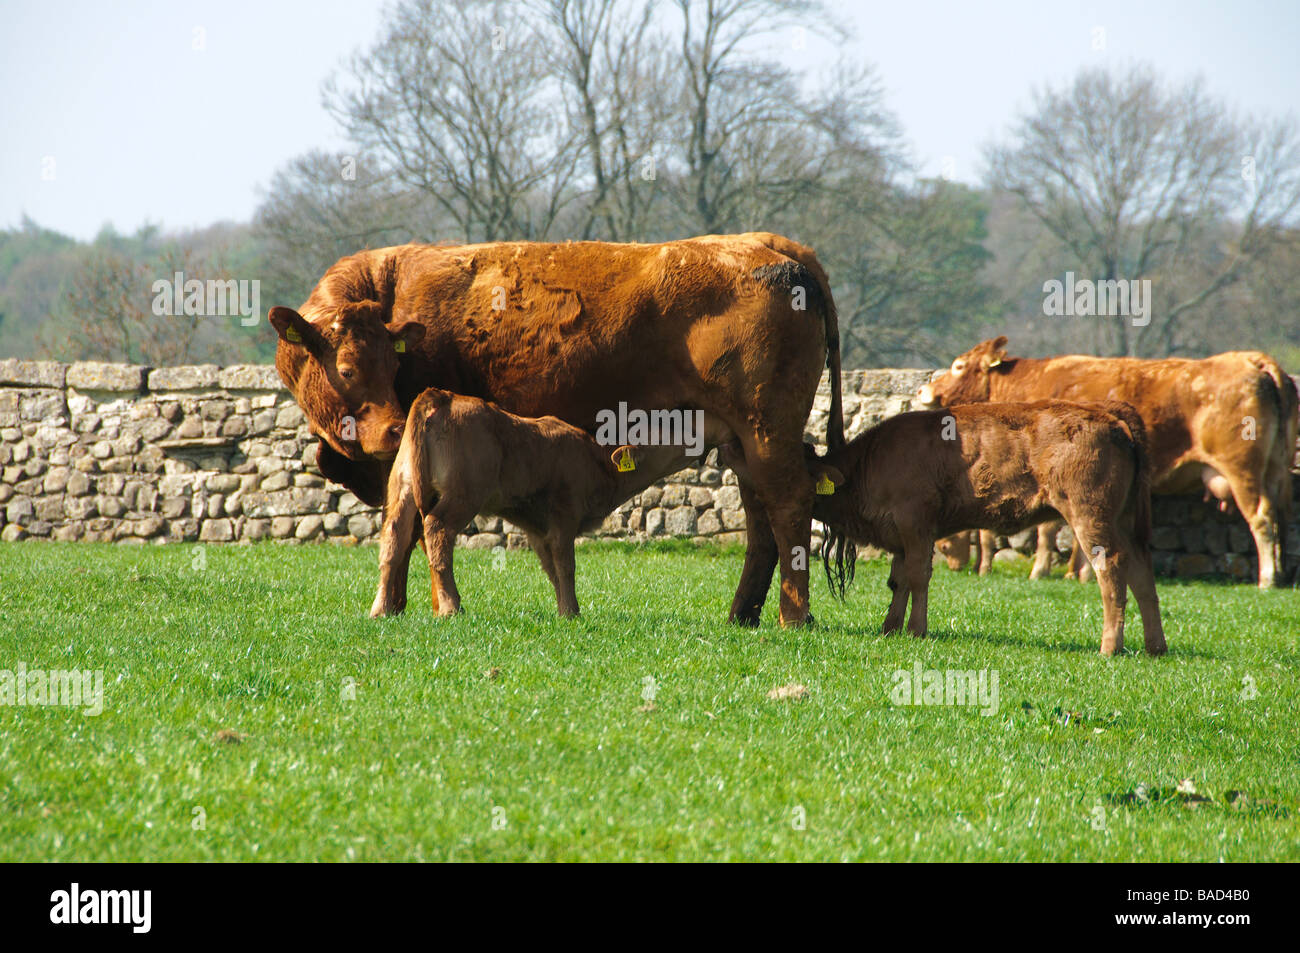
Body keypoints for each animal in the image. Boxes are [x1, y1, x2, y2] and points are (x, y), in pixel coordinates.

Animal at [370, 387, 693, 619]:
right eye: (666, 430)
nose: (694, 437)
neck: (595, 461)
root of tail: (440, 395)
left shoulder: (537, 527)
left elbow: (550, 568)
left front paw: (564, 609)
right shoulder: (564, 512)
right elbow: (565, 564)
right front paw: (572, 613)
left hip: (402, 487)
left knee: (393, 538)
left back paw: (381, 609)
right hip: (463, 494)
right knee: (437, 531)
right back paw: (451, 607)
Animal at [808, 401, 1166, 657]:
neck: (868, 461)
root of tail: (1110, 416)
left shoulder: (916, 525)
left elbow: (918, 577)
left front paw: (916, 629)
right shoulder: (900, 537)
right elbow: (898, 581)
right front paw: (889, 628)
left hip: (1089, 516)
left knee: (1112, 570)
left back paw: (1109, 647)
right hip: (1124, 522)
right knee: (1141, 573)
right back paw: (1155, 647)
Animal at [917, 337, 1299, 588]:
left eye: (958, 366)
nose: (923, 389)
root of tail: (1254, 360)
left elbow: (1048, 530)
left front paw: (1042, 571)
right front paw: (1079, 572)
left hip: (1242, 470)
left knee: (1262, 519)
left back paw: (1267, 578)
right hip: (1275, 471)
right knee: (1280, 518)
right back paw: (1282, 572)